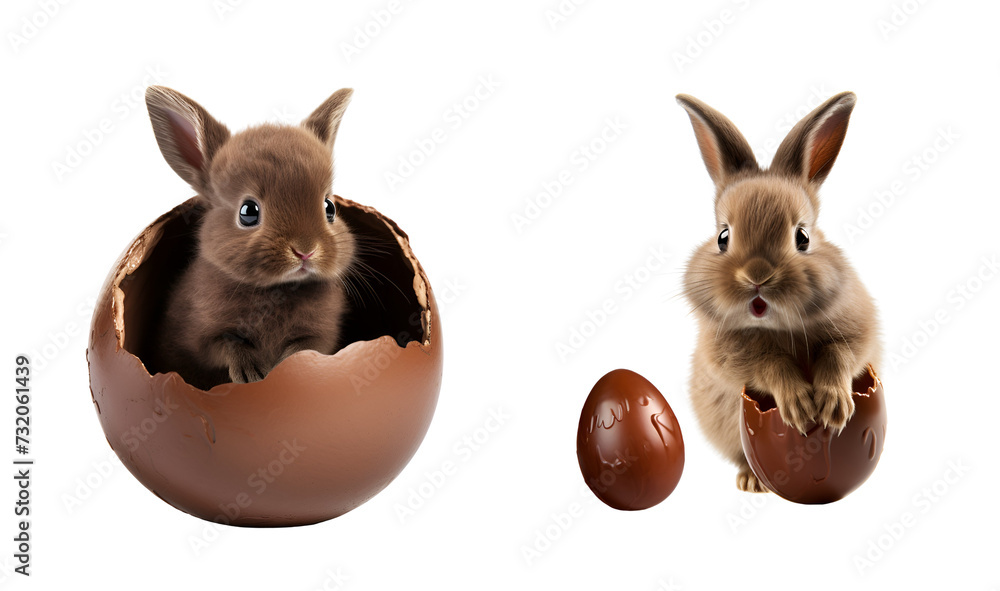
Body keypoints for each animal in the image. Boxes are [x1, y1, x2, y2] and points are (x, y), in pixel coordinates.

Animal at [144, 85, 357, 389]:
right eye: (248, 212)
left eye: (330, 208)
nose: (305, 251)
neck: (279, 289)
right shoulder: (201, 334)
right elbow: (227, 344)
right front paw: (251, 373)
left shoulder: (321, 335)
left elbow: (304, 348)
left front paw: (284, 367)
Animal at [676, 91, 882, 493]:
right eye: (723, 237)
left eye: (802, 237)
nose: (757, 276)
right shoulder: (728, 354)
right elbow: (768, 363)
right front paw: (800, 405)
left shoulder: (857, 329)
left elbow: (840, 353)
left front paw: (833, 405)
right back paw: (751, 482)